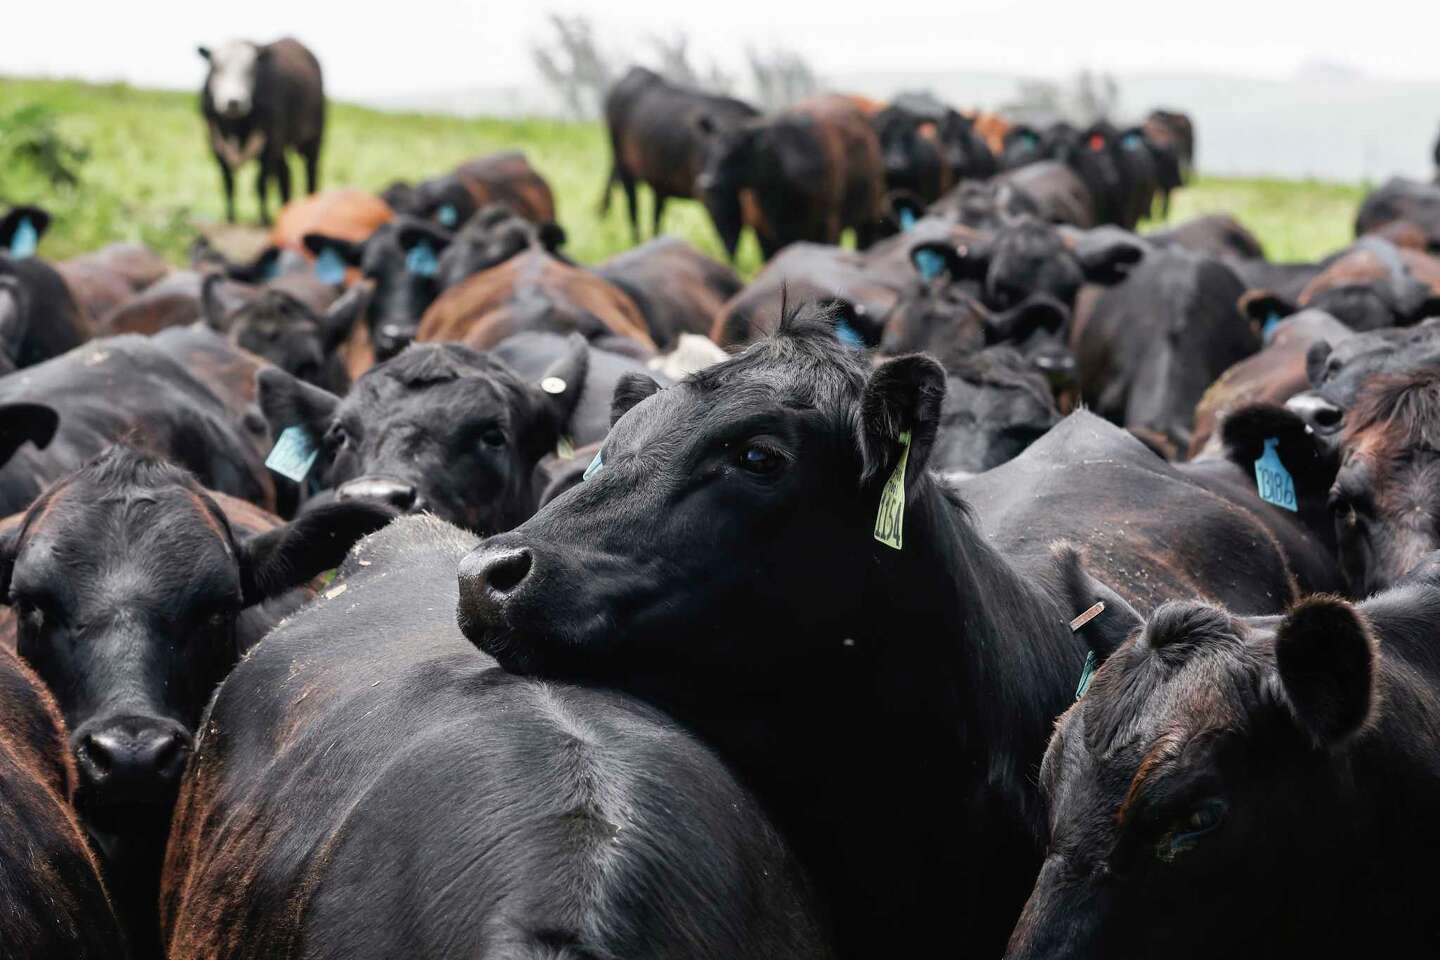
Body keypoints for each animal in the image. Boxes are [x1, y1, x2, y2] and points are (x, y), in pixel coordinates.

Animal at [198, 37, 325, 224]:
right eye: (216, 68)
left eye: (250, 70)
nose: (233, 102)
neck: (237, 125)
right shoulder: (215, 143)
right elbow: (228, 183)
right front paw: (230, 218)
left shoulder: (270, 144)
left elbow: (261, 183)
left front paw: (264, 220)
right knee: (285, 174)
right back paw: (285, 209)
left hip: (312, 138)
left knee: (311, 171)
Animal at [601, 66, 761, 242]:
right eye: (719, 147)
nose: (708, 180)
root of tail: (636, 71)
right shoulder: (715, 203)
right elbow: (730, 239)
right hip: (623, 164)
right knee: (633, 208)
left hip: (656, 176)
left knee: (656, 212)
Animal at [698, 94, 887, 260]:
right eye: (712, 148)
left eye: (739, 150)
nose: (707, 182)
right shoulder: (762, 231)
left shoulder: (828, 225)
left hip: (870, 214)